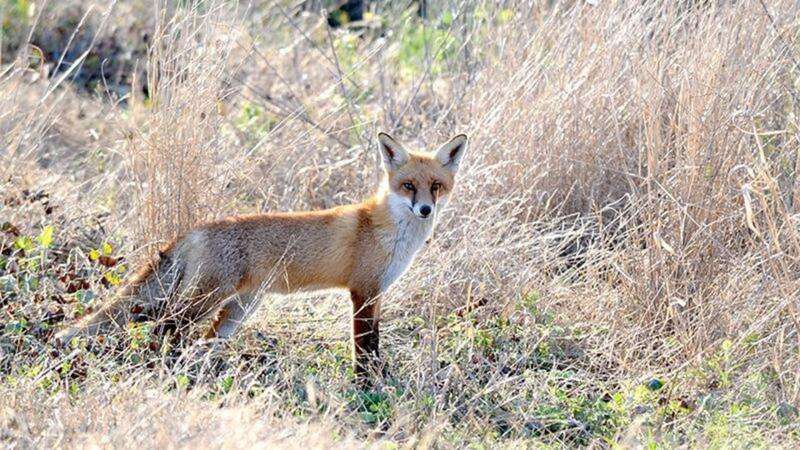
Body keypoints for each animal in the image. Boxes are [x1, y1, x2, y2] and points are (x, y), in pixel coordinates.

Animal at [55, 132, 468, 379]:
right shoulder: (363, 292)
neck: (390, 233)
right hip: (203, 300)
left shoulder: (377, 295)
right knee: (164, 327)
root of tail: (193, 230)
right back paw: (160, 363)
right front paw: (367, 384)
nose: (425, 210)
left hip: (238, 308)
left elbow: (375, 343)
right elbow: (364, 348)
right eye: (408, 186)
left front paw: (378, 379)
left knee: (201, 340)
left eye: (436, 186)